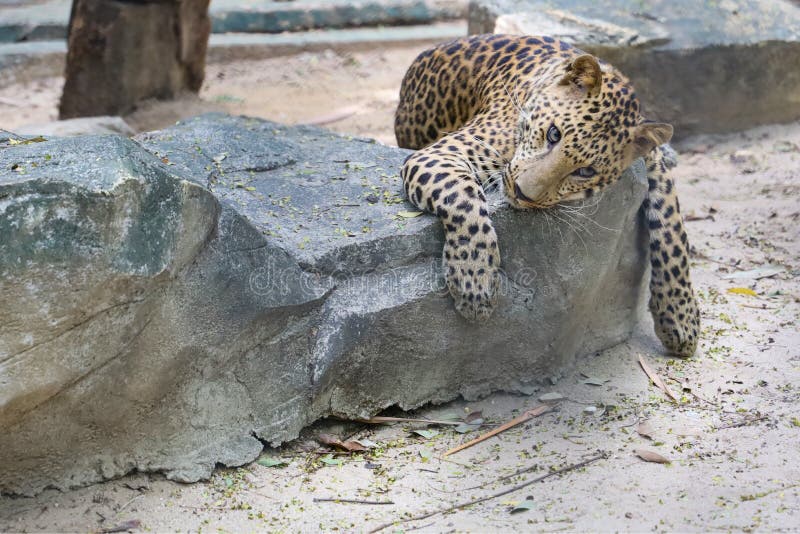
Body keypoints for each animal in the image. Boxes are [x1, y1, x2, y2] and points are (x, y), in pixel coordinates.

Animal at [394, 34, 699, 357]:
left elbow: (672, 224)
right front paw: (474, 281)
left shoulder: (650, 158)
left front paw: (681, 316)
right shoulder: (439, 155)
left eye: (585, 171)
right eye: (553, 134)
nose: (522, 193)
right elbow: (463, 199)